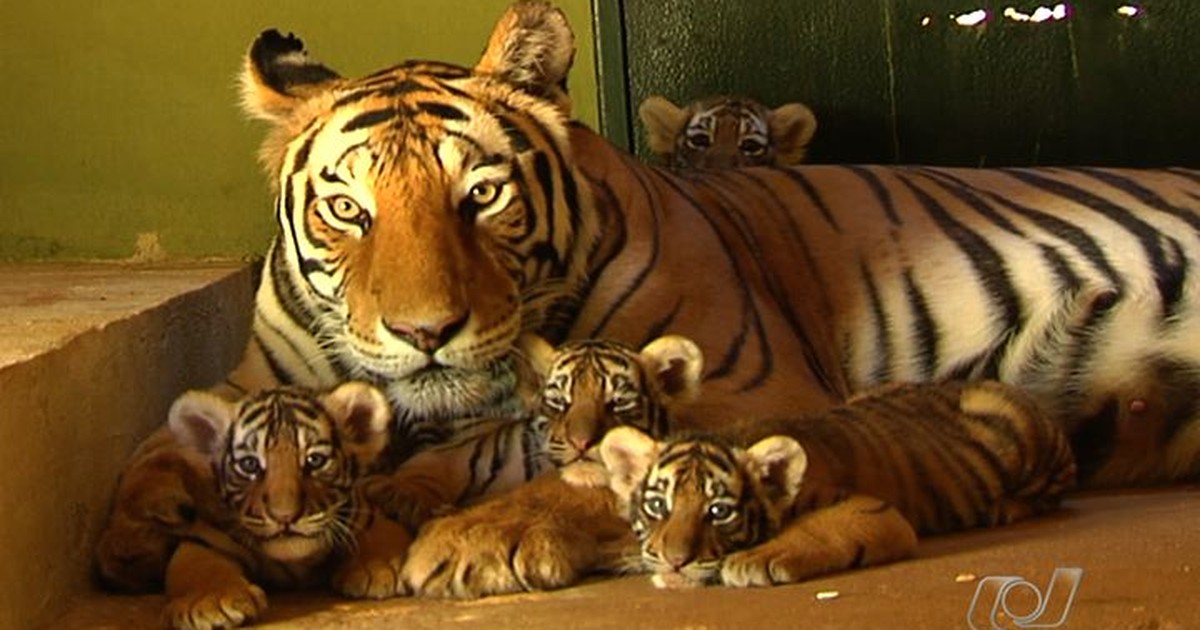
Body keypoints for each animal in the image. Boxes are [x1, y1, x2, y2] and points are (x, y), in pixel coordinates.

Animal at [96, 384, 411, 629]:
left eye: (315, 461)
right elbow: (196, 565)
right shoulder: (208, 536)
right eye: (250, 465)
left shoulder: (362, 513)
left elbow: (381, 534)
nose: (285, 516)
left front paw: (379, 569)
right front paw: (210, 603)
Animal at [594, 380, 1077, 588]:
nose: (674, 562)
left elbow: (814, 529)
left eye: (719, 511)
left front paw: (756, 560)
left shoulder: (870, 508)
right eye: (658, 506)